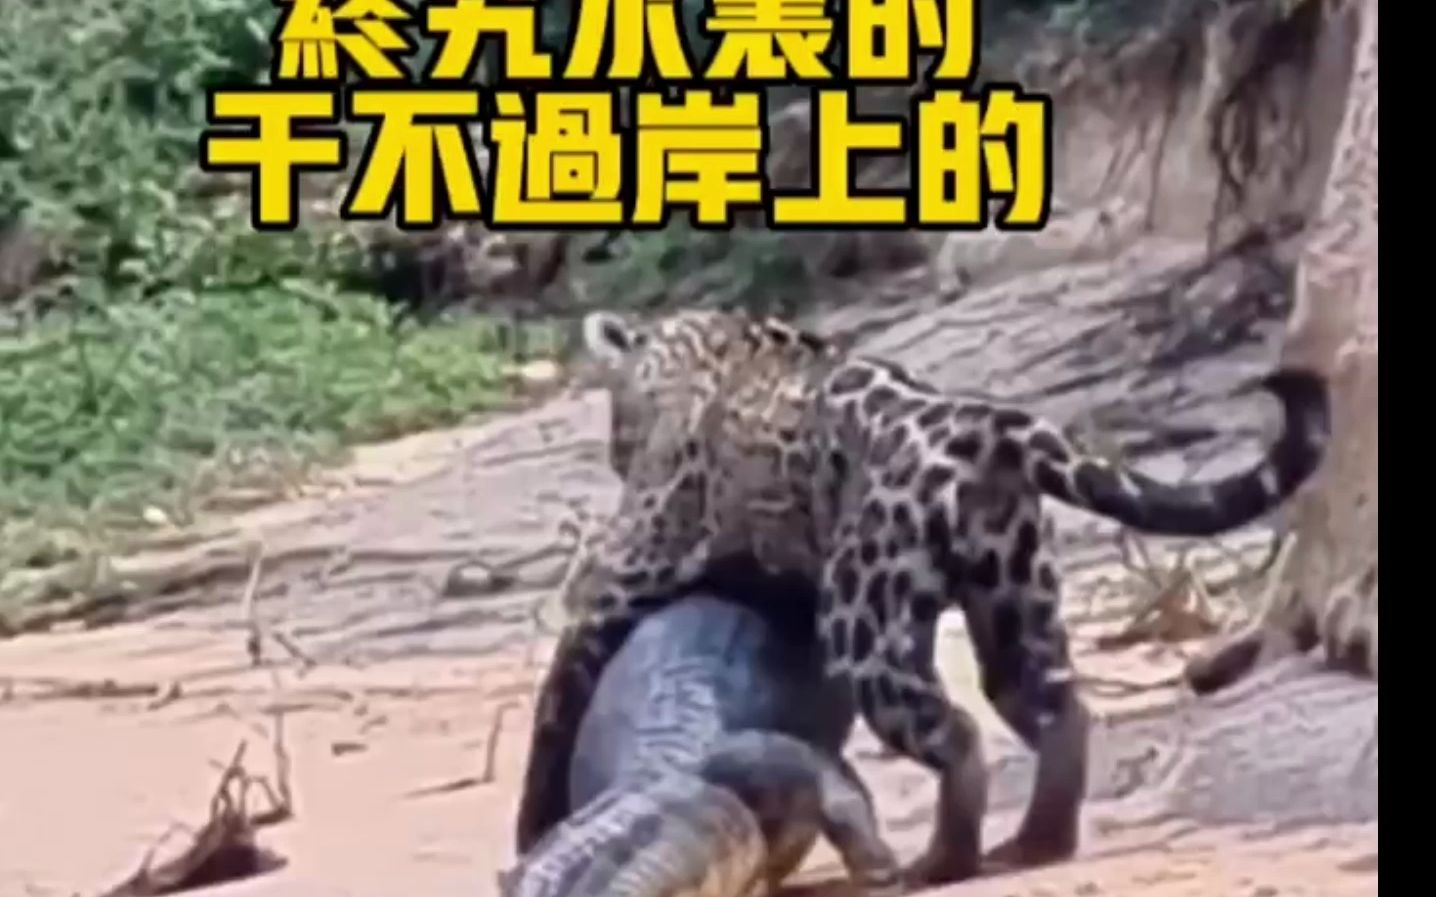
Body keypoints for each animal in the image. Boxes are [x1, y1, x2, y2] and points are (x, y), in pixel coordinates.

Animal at [516, 306, 1330, 887]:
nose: (615, 453)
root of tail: (986, 424)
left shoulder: (624, 572)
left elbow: (554, 710)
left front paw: (532, 829)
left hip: (866, 626)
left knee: (958, 734)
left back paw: (941, 862)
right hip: (1013, 601)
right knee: (1058, 710)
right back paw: (1036, 844)